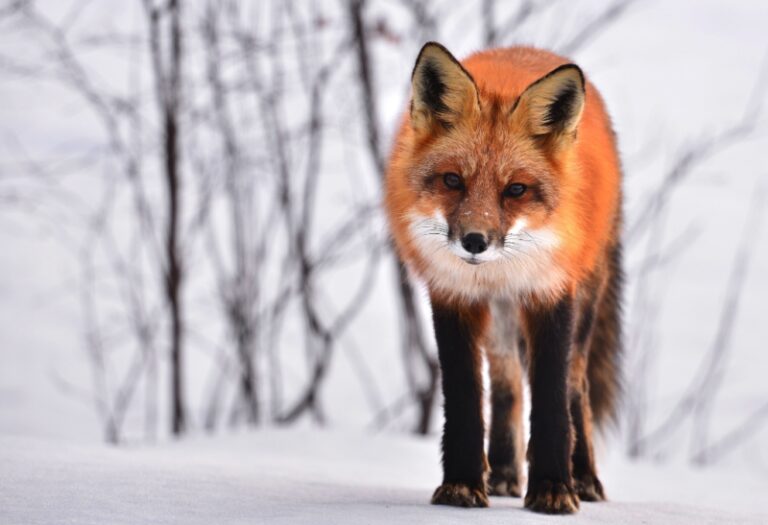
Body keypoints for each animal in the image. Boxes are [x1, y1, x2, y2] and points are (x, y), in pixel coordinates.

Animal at [384, 42, 623, 514]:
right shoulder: (453, 296)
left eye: (515, 190)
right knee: (506, 384)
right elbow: (465, 400)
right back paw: (505, 473)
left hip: (584, 301)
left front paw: (553, 488)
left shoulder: (550, 293)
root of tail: (529, 49)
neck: (498, 271)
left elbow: (551, 401)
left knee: (576, 386)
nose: (475, 241)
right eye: (452, 180)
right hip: (499, 322)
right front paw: (461, 485)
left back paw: (584, 477)